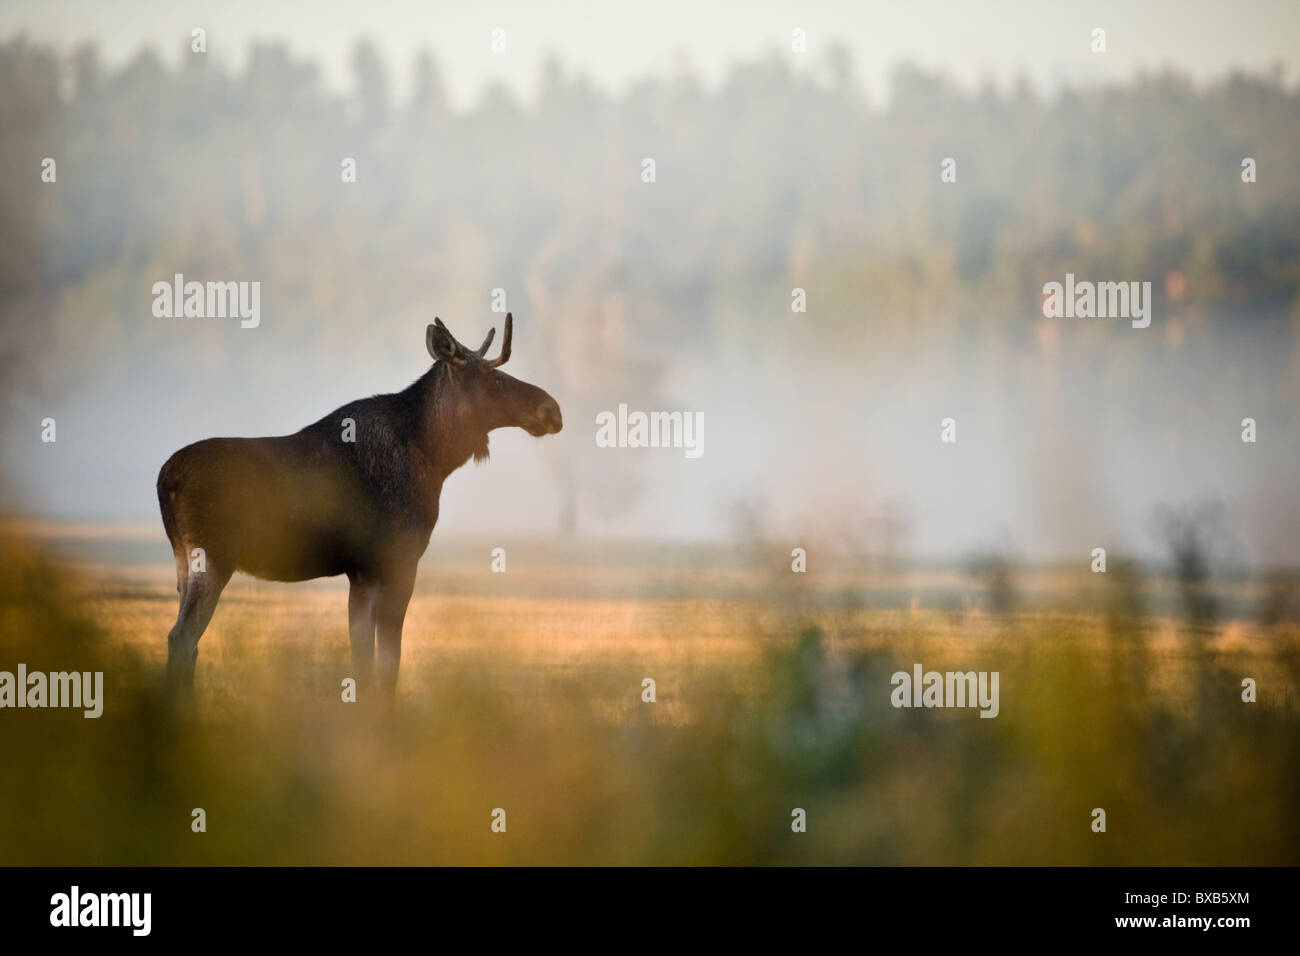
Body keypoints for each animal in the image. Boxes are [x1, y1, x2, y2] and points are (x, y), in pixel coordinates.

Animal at [156, 313, 561, 695]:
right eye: (493, 378)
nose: (552, 410)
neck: (434, 458)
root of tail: (165, 479)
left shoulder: (361, 573)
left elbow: (362, 661)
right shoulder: (398, 561)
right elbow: (388, 664)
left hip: (182, 561)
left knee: (185, 640)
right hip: (213, 556)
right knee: (182, 637)